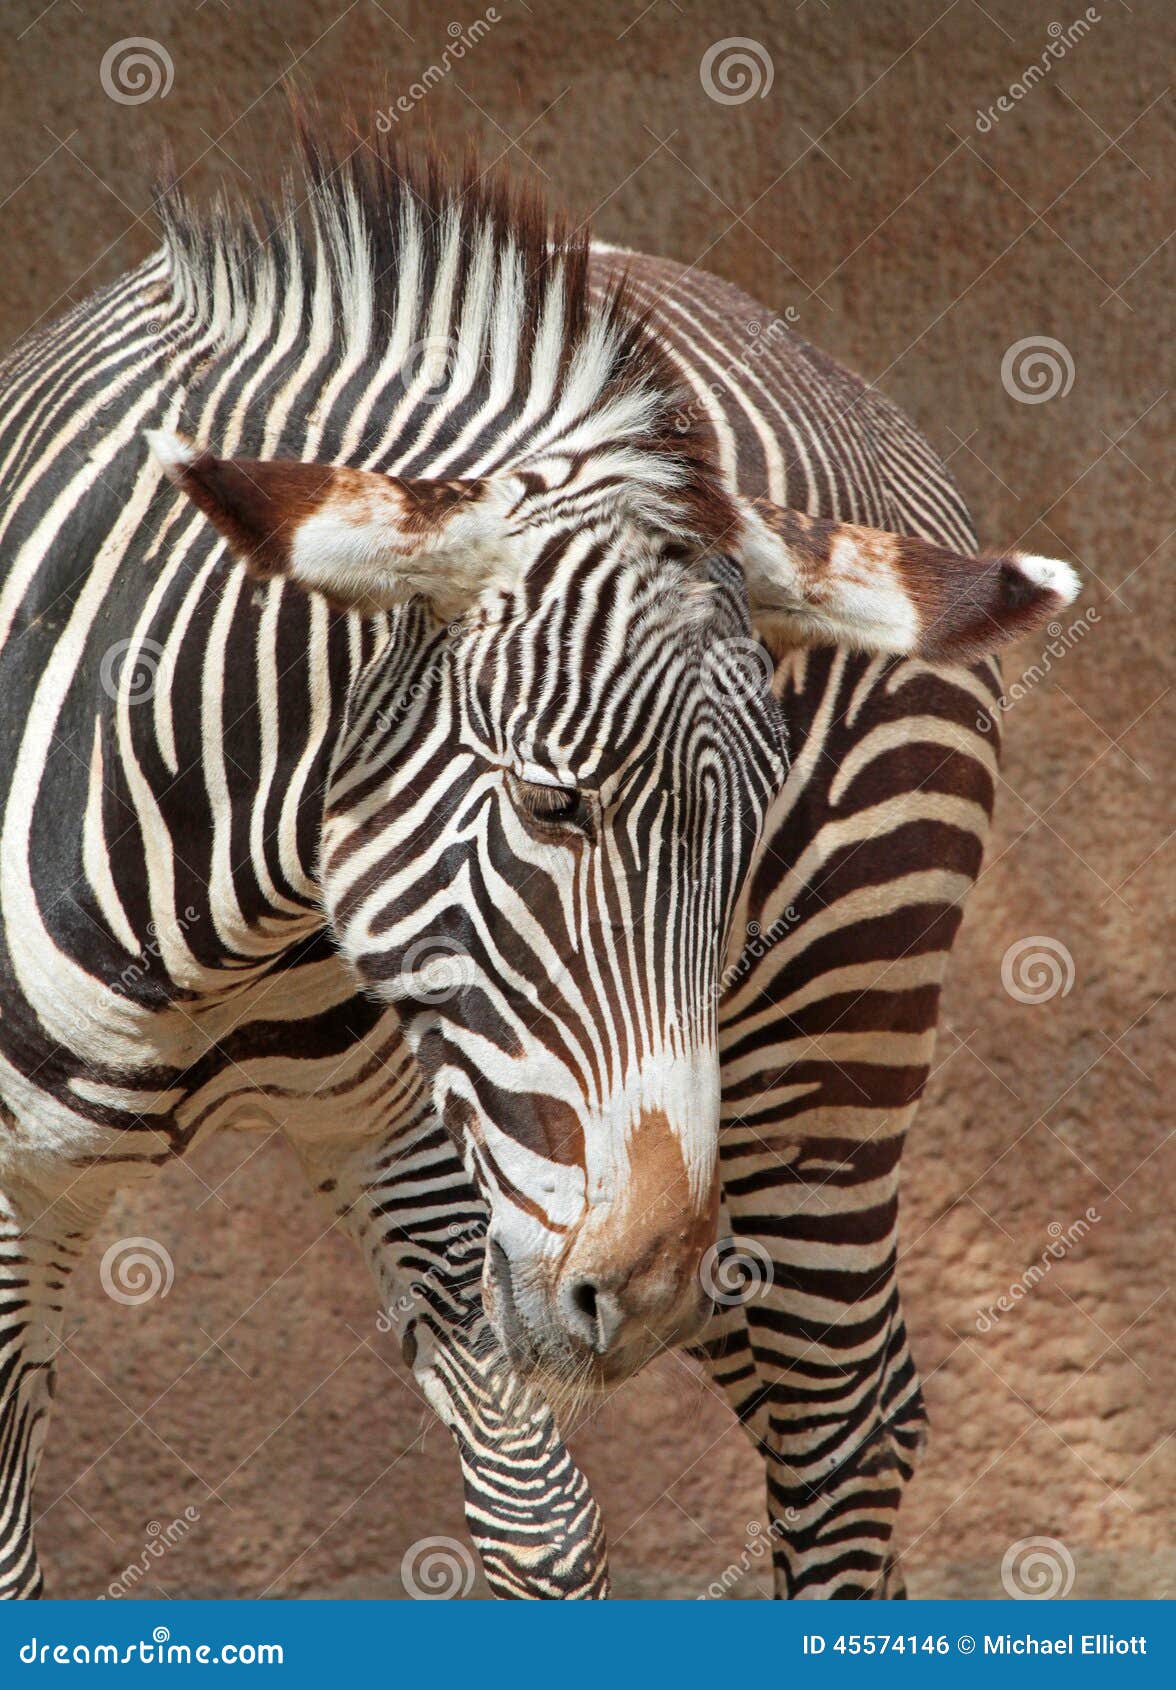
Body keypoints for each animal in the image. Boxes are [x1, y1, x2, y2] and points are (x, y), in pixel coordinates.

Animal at [0, 127, 1078, 1600]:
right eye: (551, 803)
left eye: (751, 839)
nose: (646, 1289)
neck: (205, 918)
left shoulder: (429, 1152)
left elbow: (541, 1531)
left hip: (827, 1051)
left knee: (843, 1433)